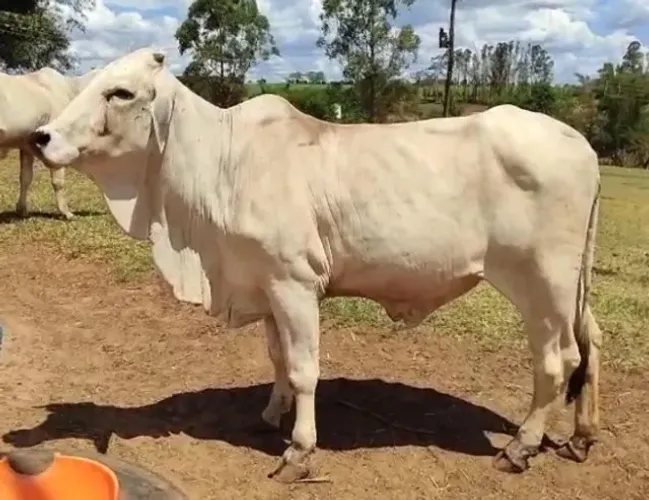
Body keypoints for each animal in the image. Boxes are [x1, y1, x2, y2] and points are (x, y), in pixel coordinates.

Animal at [30, 48, 603, 481]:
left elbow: (305, 368)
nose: (41, 137)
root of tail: (581, 144)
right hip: (571, 286)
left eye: (120, 93)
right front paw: (270, 414)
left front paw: (299, 451)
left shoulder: (295, 283)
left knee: (557, 360)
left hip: (541, 283)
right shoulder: (263, 286)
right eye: (88, 82)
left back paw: (521, 446)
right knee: (592, 344)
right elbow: (278, 358)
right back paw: (581, 437)